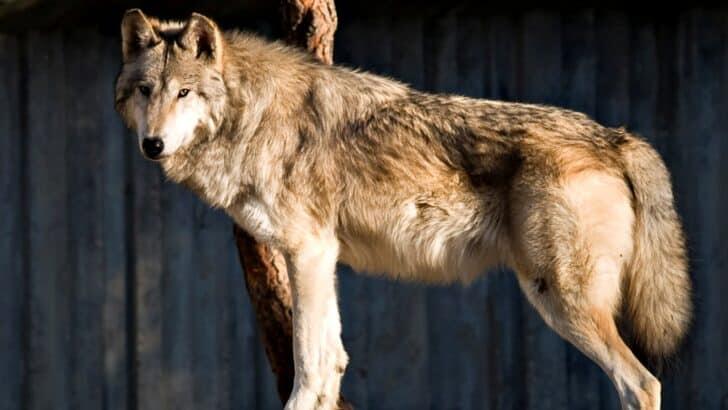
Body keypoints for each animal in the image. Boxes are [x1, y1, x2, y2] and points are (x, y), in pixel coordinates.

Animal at [115, 9, 691, 410]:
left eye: (185, 93)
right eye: (145, 90)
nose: (152, 145)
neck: (250, 116)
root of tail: (617, 136)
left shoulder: (308, 251)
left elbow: (309, 367)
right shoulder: (320, 259)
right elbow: (332, 363)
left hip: (560, 298)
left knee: (643, 383)